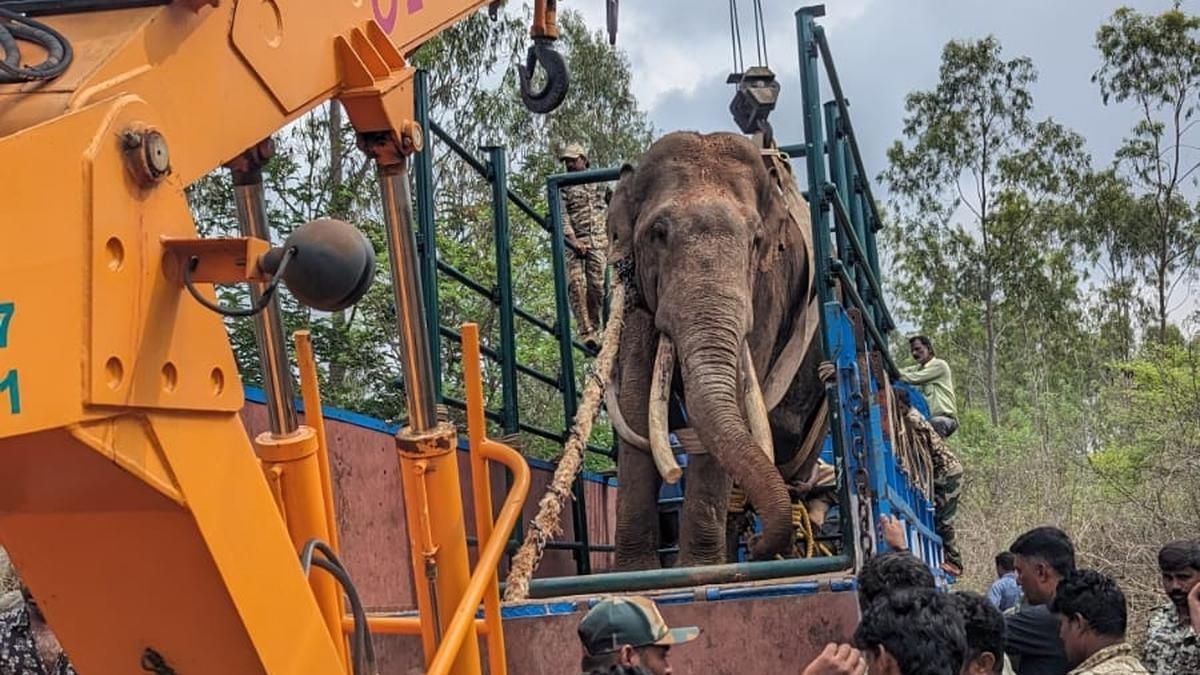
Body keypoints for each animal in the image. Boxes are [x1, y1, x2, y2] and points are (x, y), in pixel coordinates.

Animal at [602, 130, 830, 569]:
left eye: (756, 240)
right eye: (657, 233)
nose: (758, 547)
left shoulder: (767, 290)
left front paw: (697, 570)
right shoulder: (638, 291)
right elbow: (636, 400)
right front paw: (637, 573)